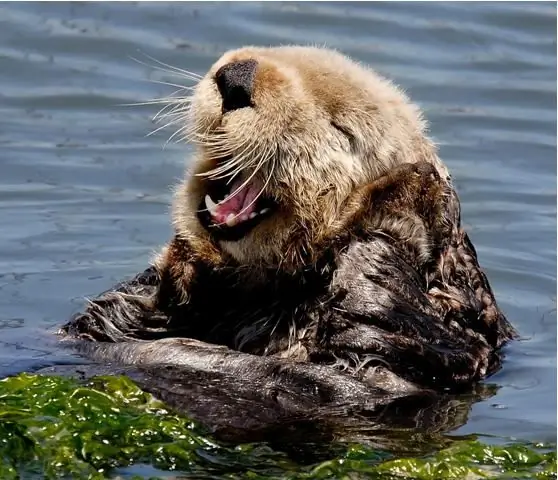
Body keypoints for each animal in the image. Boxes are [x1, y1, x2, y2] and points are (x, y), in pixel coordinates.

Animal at [59, 47, 520, 432]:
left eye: (342, 128)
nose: (236, 76)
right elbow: (111, 318)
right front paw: (184, 263)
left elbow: (378, 359)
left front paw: (407, 198)